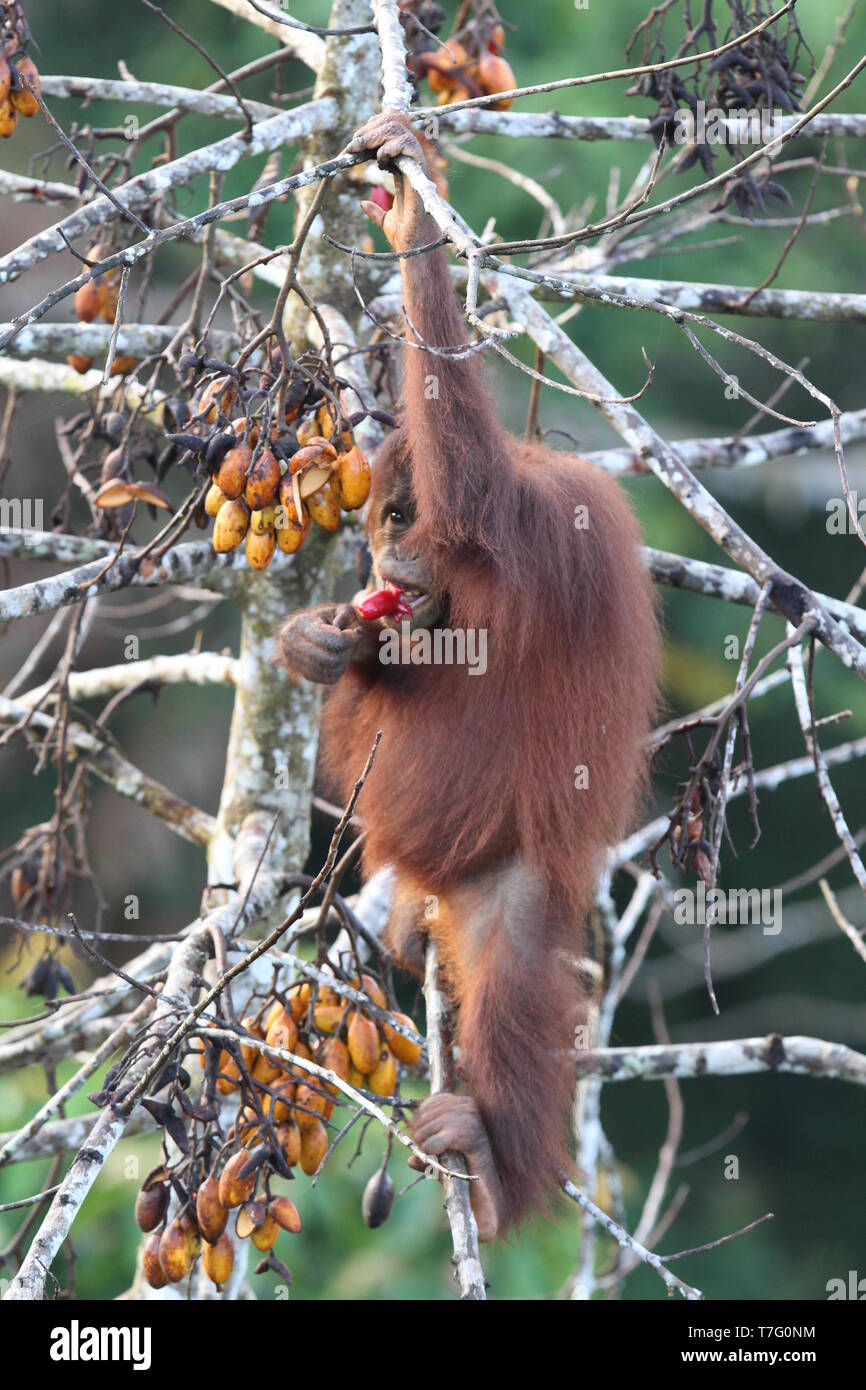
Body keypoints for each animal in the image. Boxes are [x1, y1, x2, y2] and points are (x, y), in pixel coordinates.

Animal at [276, 111, 661, 1241]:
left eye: (402, 516)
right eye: (372, 523)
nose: (378, 561)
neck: (471, 573)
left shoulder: (521, 520)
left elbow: (462, 445)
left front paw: (414, 217)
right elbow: (370, 689)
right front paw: (316, 640)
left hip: (514, 883)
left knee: (517, 992)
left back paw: (490, 1173)